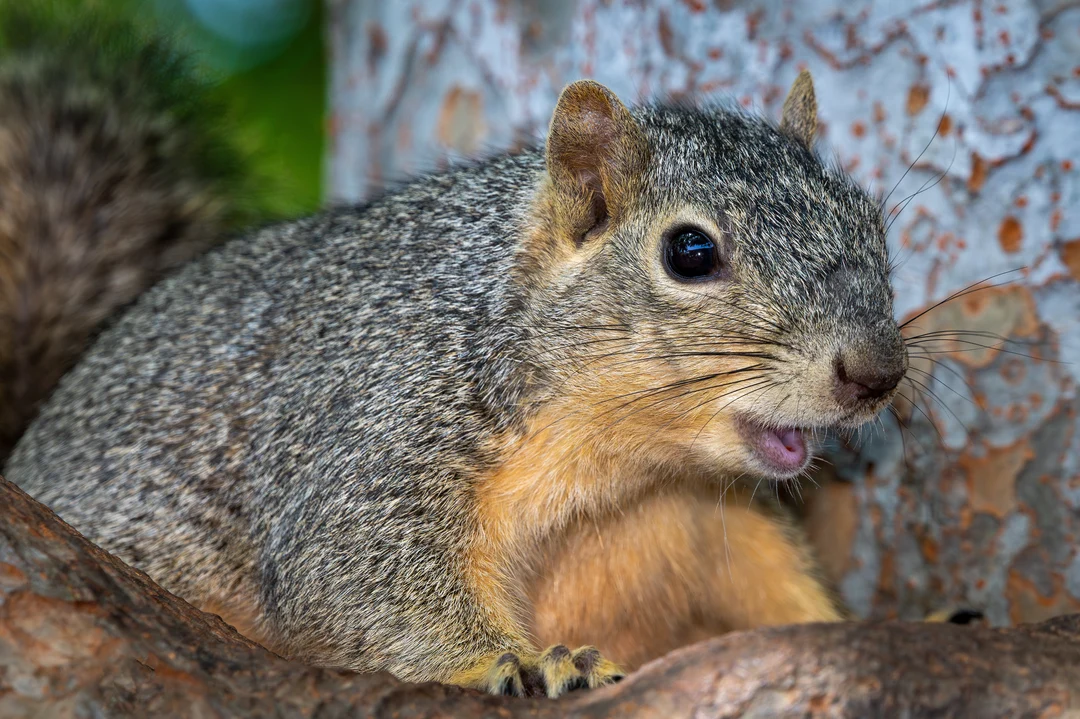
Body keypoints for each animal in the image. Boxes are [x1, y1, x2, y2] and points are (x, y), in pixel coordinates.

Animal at [4, 9, 913, 699]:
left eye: (871, 221)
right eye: (690, 253)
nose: (877, 373)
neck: (619, 468)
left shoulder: (706, 521)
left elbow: (778, 594)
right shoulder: (377, 424)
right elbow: (348, 570)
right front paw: (518, 659)